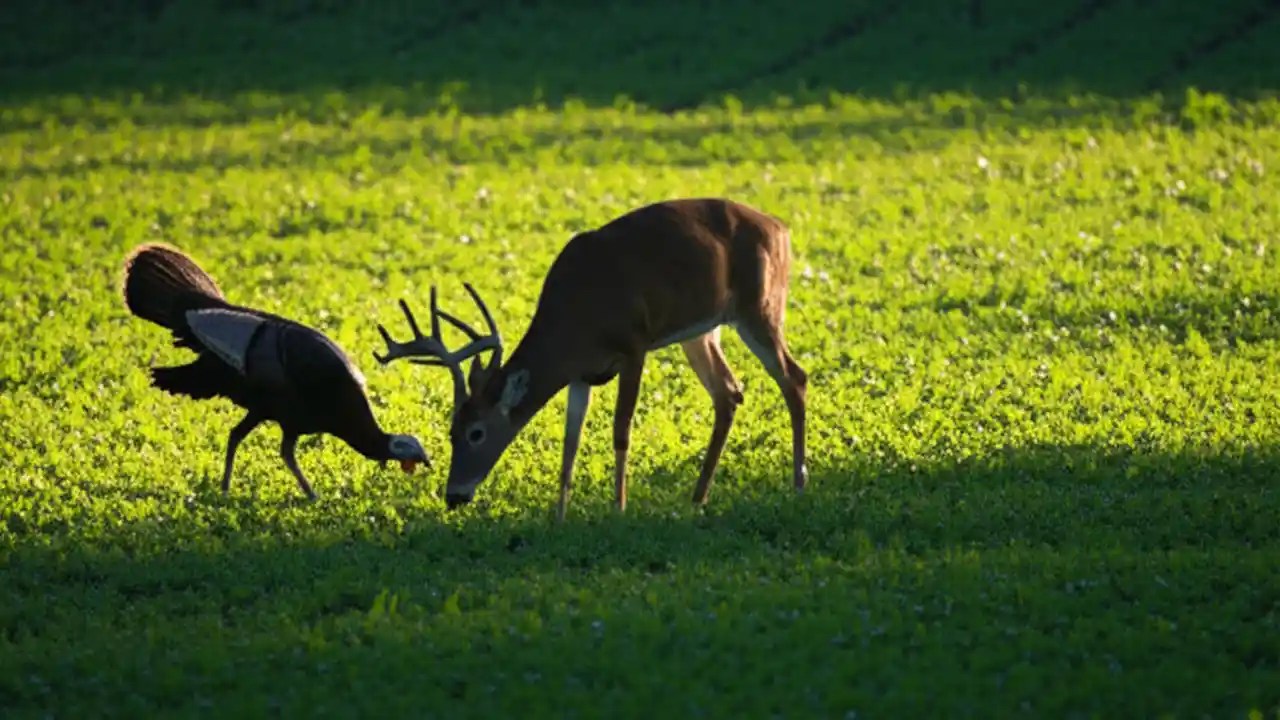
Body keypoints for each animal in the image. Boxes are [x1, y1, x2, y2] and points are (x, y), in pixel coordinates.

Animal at [374, 198, 808, 520]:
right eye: (451, 431)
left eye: (476, 433)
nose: (454, 496)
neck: (576, 315)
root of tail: (782, 228)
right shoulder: (581, 372)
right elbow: (571, 441)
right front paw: (559, 517)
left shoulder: (634, 344)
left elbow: (621, 430)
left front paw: (618, 508)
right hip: (702, 331)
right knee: (729, 392)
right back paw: (697, 497)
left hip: (760, 305)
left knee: (795, 377)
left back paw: (798, 483)